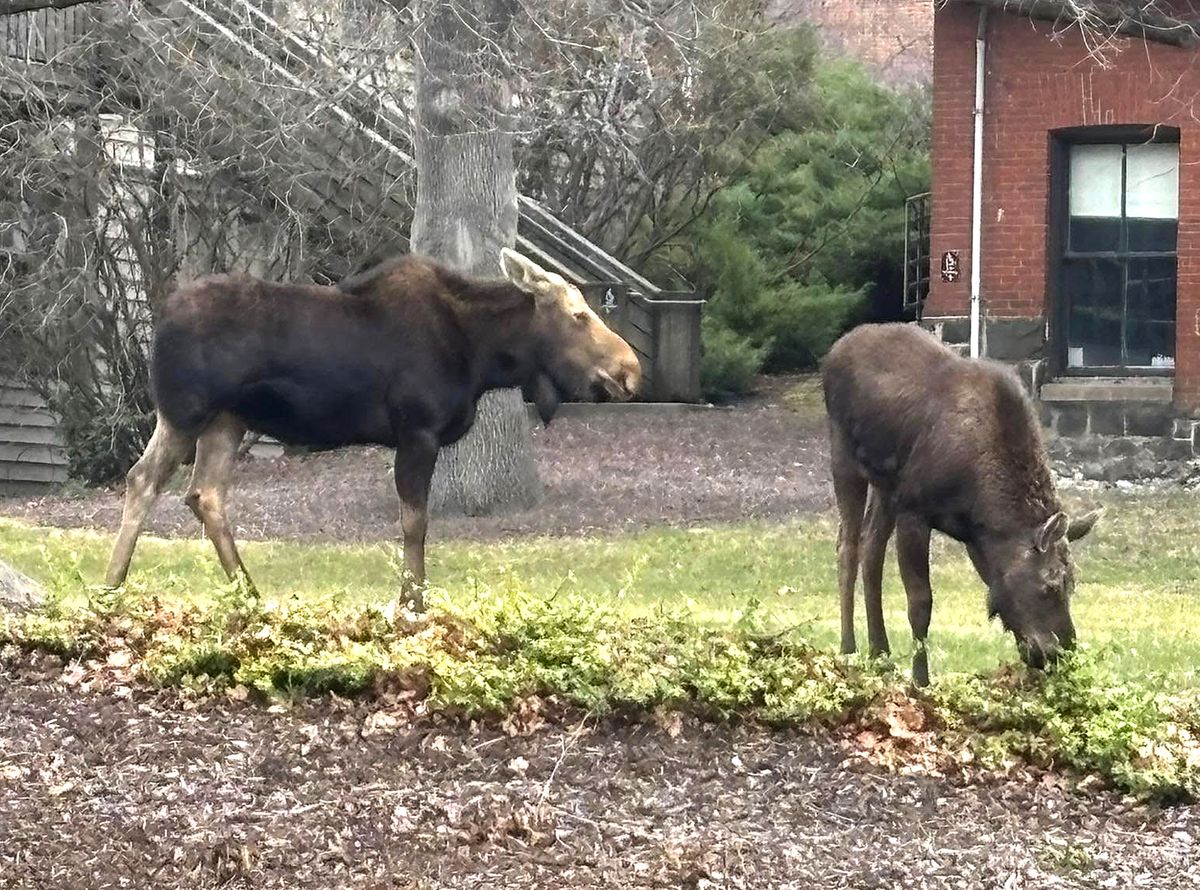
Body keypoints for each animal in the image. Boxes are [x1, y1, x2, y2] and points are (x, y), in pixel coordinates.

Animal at [104, 249, 642, 609]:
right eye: (579, 315)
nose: (630, 370)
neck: (485, 355)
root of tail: (159, 321)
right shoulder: (417, 431)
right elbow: (415, 523)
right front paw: (411, 605)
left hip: (226, 420)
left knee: (204, 494)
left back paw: (250, 594)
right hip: (184, 412)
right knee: (142, 479)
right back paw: (111, 586)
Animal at [821, 323, 1101, 686]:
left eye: (1072, 585)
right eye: (1049, 585)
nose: (1059, 654)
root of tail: (834, 350)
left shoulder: (974, 537)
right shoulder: (914, 509)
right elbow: (920, 602)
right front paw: (921, 679)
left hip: (886, 483)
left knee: (871, 548)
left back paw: (880, 652)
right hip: (844, 453)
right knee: (848, 545)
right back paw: (849, 648)